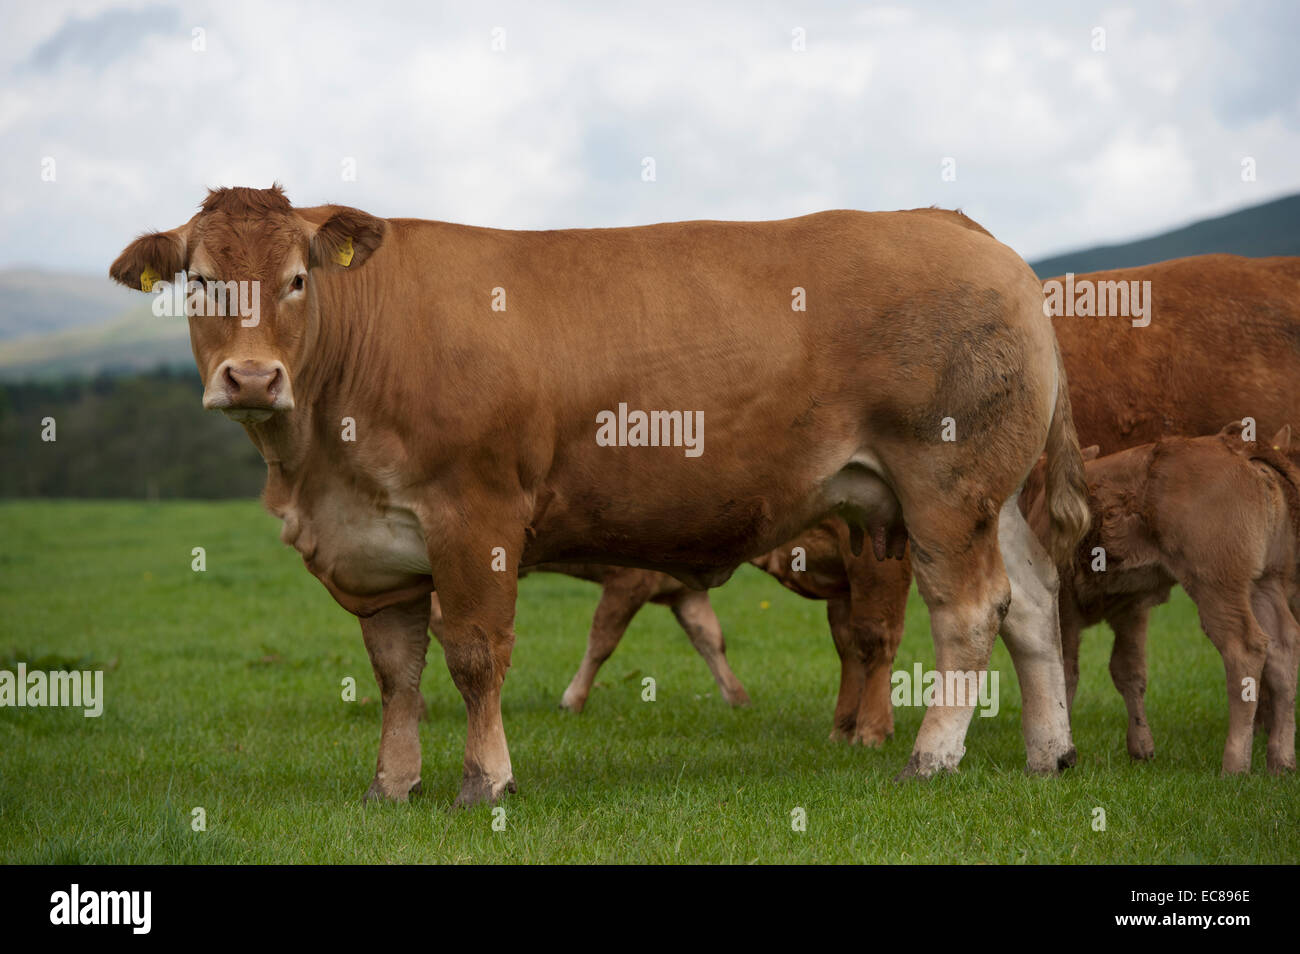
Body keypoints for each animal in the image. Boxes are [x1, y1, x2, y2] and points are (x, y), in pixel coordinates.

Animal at [111, 185, 1089, 806]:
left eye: (297, 278)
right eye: (200, 281)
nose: (250, 377)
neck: (319, 461)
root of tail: (957, 226)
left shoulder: (475, 516)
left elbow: (474, 657)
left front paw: (485, 782)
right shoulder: (378, 551)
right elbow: (396, 673)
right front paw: (393, 785)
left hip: (944, 485)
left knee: (970, 611)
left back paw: (933, 758)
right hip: (996, 494)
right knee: (1034, 605)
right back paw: (1049, 753)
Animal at [1021, 425, 1300, 774]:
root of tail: (1234, 445)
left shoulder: (1063, 606)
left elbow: (1066, 671)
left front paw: (1063, 750)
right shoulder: (1130, 607)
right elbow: (1128, 671)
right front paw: (1141, 747)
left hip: (1217, 587)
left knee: (1245, 649)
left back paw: (1234, 765)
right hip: (1265, 584)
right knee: (1283, 649)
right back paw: (1281, 762)